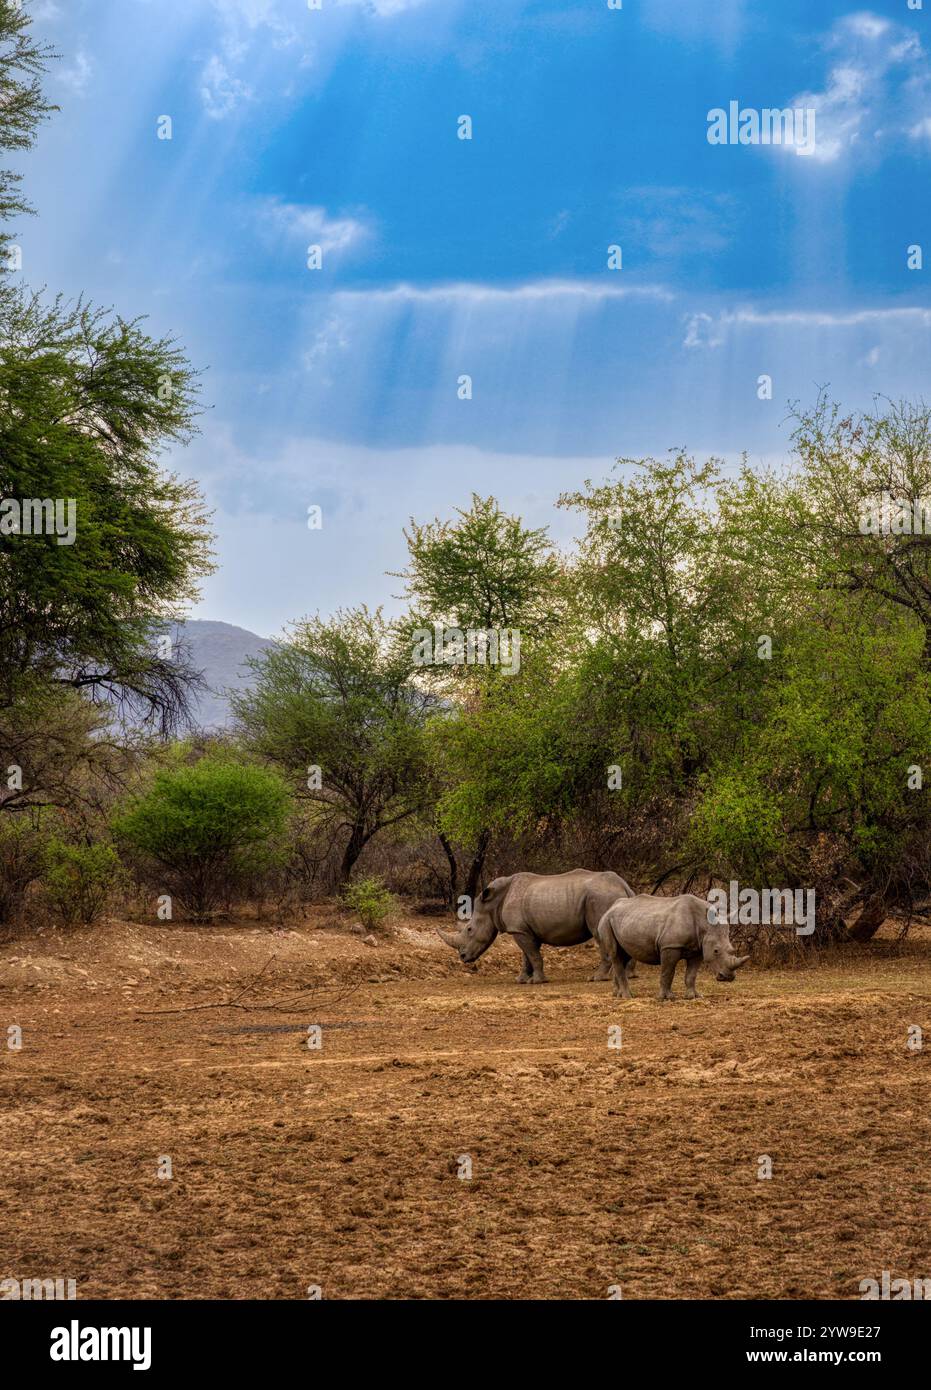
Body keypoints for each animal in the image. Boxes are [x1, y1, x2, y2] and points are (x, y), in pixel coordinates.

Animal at [437, 869, 635, 984]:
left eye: (469, 930)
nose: (462, 957)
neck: (492, 903)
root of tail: (623, 885)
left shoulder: (519, 930)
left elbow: (533, 955)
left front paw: (537, 981)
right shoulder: (523, 929)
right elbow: (527, 955)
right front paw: (521, 980)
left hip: (599, 897)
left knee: (598, 933)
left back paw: (596, 978)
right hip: (610, 896)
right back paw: (629, 975)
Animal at [596, 893, 750, 1000]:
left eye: (732, 949)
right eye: (716, 951)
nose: (728, 978)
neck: (704, 924)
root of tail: (610, 907)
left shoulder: (698, 949)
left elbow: (691, 975)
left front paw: (693, 996)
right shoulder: (670, 946)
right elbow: (668, 972)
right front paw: (666, 998)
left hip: (624, 921)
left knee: (625, 955)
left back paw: (617, 995)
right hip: (606, 921)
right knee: (615, 954)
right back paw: (627, 997)